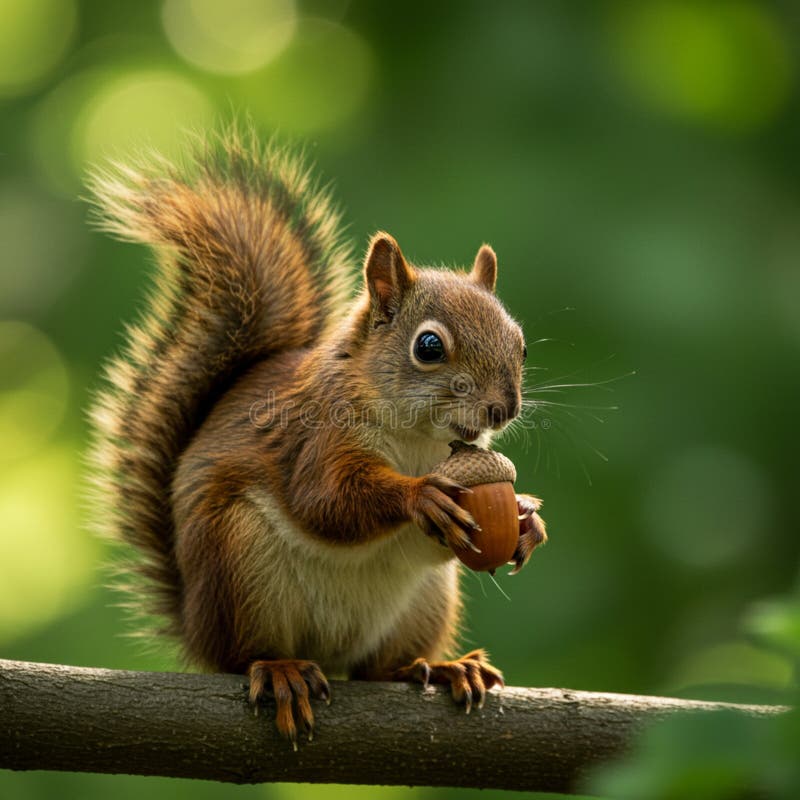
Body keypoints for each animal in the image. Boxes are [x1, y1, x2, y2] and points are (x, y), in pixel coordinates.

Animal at [87, 125, 547, 747]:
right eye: (428, 346)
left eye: (519, 344)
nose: (505, 407)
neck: (419, 441)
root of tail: (196, 624)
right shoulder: (317, 437)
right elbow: (325, 501)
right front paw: (420, 495)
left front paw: (526, 520)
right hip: (240, 565)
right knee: (243, 656)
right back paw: (281, 671)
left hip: (425, 603)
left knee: (380, 668)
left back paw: (441, 667)